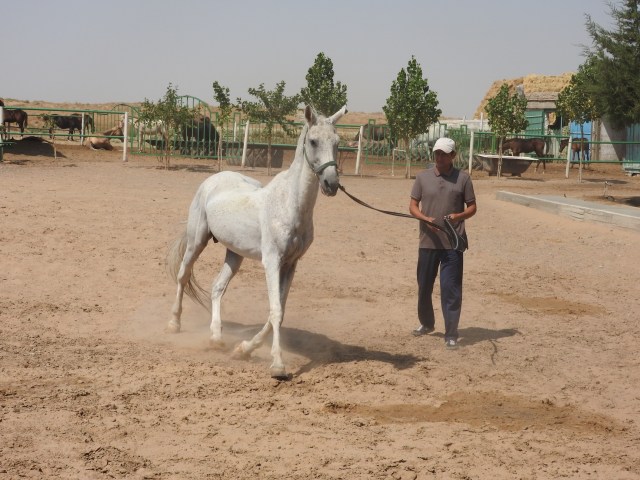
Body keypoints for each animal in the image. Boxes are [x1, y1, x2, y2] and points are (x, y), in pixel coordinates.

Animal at [166, 105, 346, 379]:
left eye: (337, 142)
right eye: (313, 141)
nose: (331, 184)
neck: (289, 204)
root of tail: (214, 179)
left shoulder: (291, 264)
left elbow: (278, 312)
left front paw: (244, 349)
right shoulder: (272, 262)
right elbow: (276, 310)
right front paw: (278, 365)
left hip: (234, 253)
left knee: (217, 287)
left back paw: (216, 338)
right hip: (197, 241)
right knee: (183, 276)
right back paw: (174, 323)